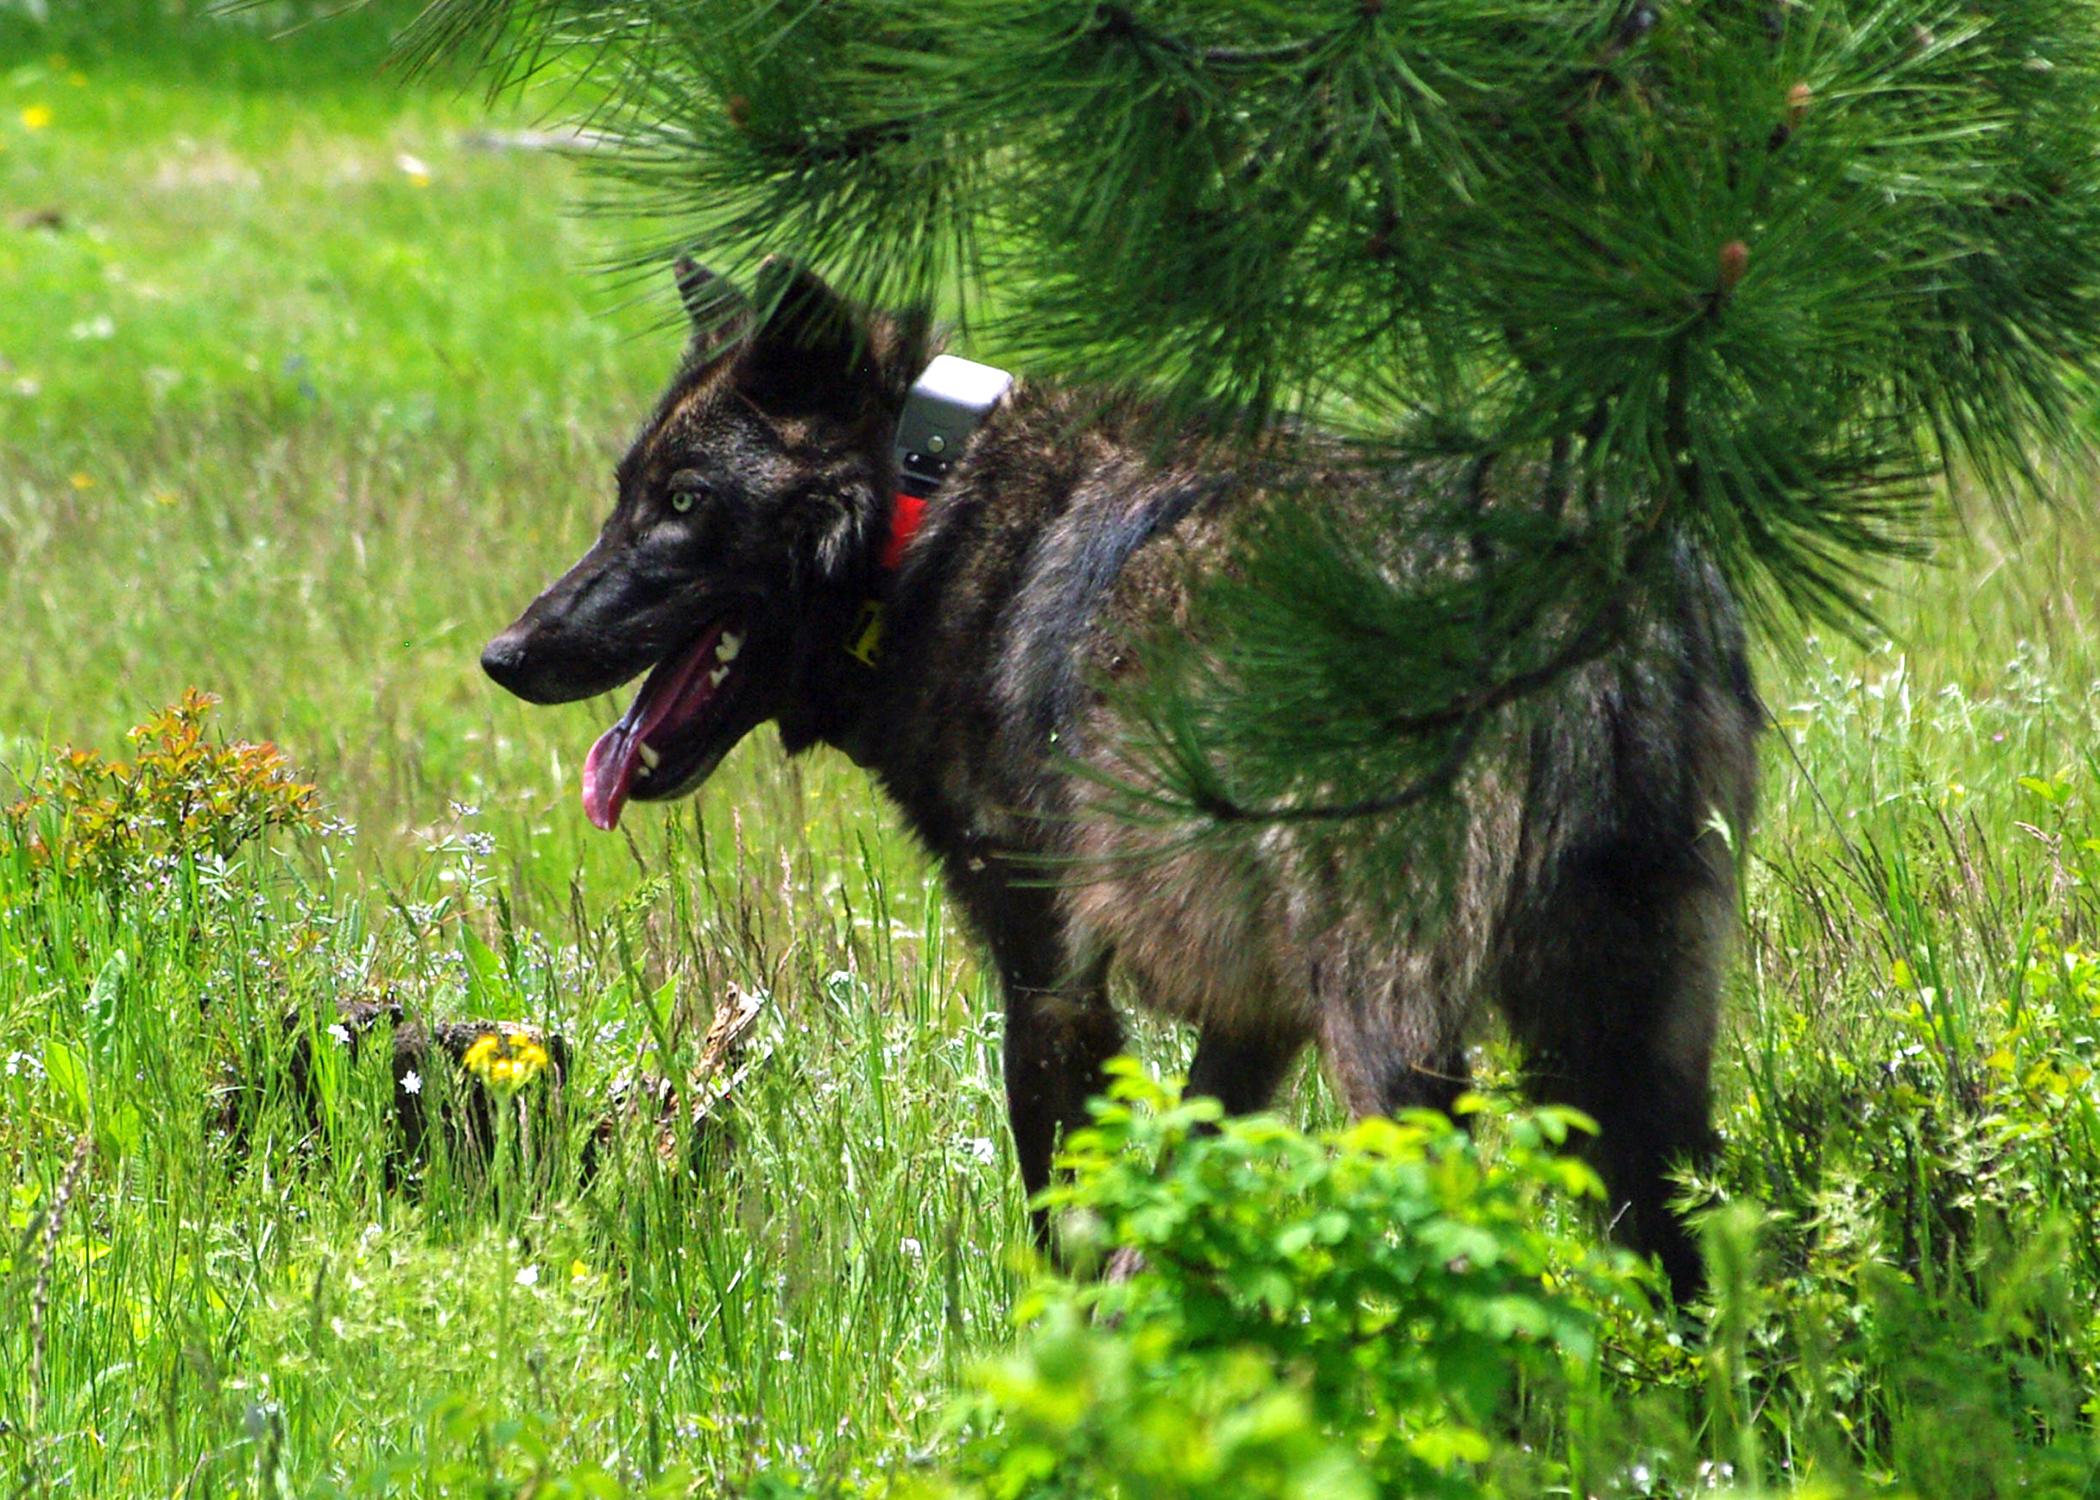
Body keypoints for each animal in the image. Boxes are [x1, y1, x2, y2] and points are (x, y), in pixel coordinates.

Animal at [481, 258, 1762, 1298]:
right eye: (623, 494)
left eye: (686, 503)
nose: (507, 655)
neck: (931, 514)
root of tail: (1577, 589)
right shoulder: (1254, 1014)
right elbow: (1180, 1185)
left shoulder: (1047, 977)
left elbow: (1067, 1219)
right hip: (1625, 1057)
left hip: (1403, 1047)